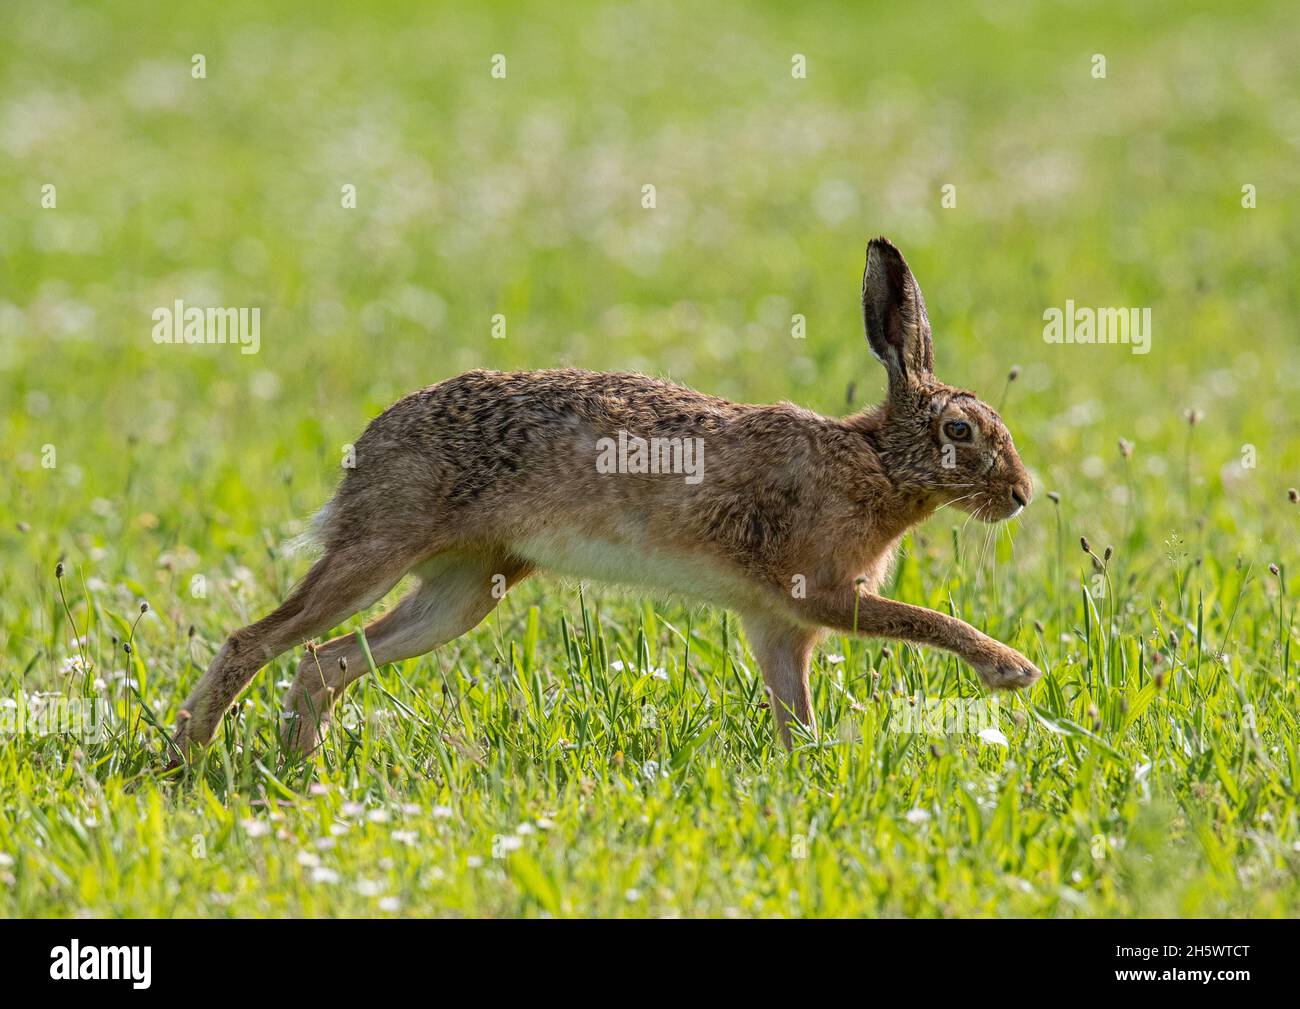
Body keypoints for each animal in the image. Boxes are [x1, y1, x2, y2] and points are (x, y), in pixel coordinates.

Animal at [168, 236, 1040, 763]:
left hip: (466, 588)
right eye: (961, 429)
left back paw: (298, 767)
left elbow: (795, 714)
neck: (877, 463)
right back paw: (190, 755)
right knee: (258, 639)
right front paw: (1012, 672)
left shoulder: (777, 624)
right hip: (382, 546)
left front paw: (807, 771)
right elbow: (924, 620)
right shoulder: (817, 592)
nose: (1022, 494)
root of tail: (366, 444)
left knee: (329, 660)